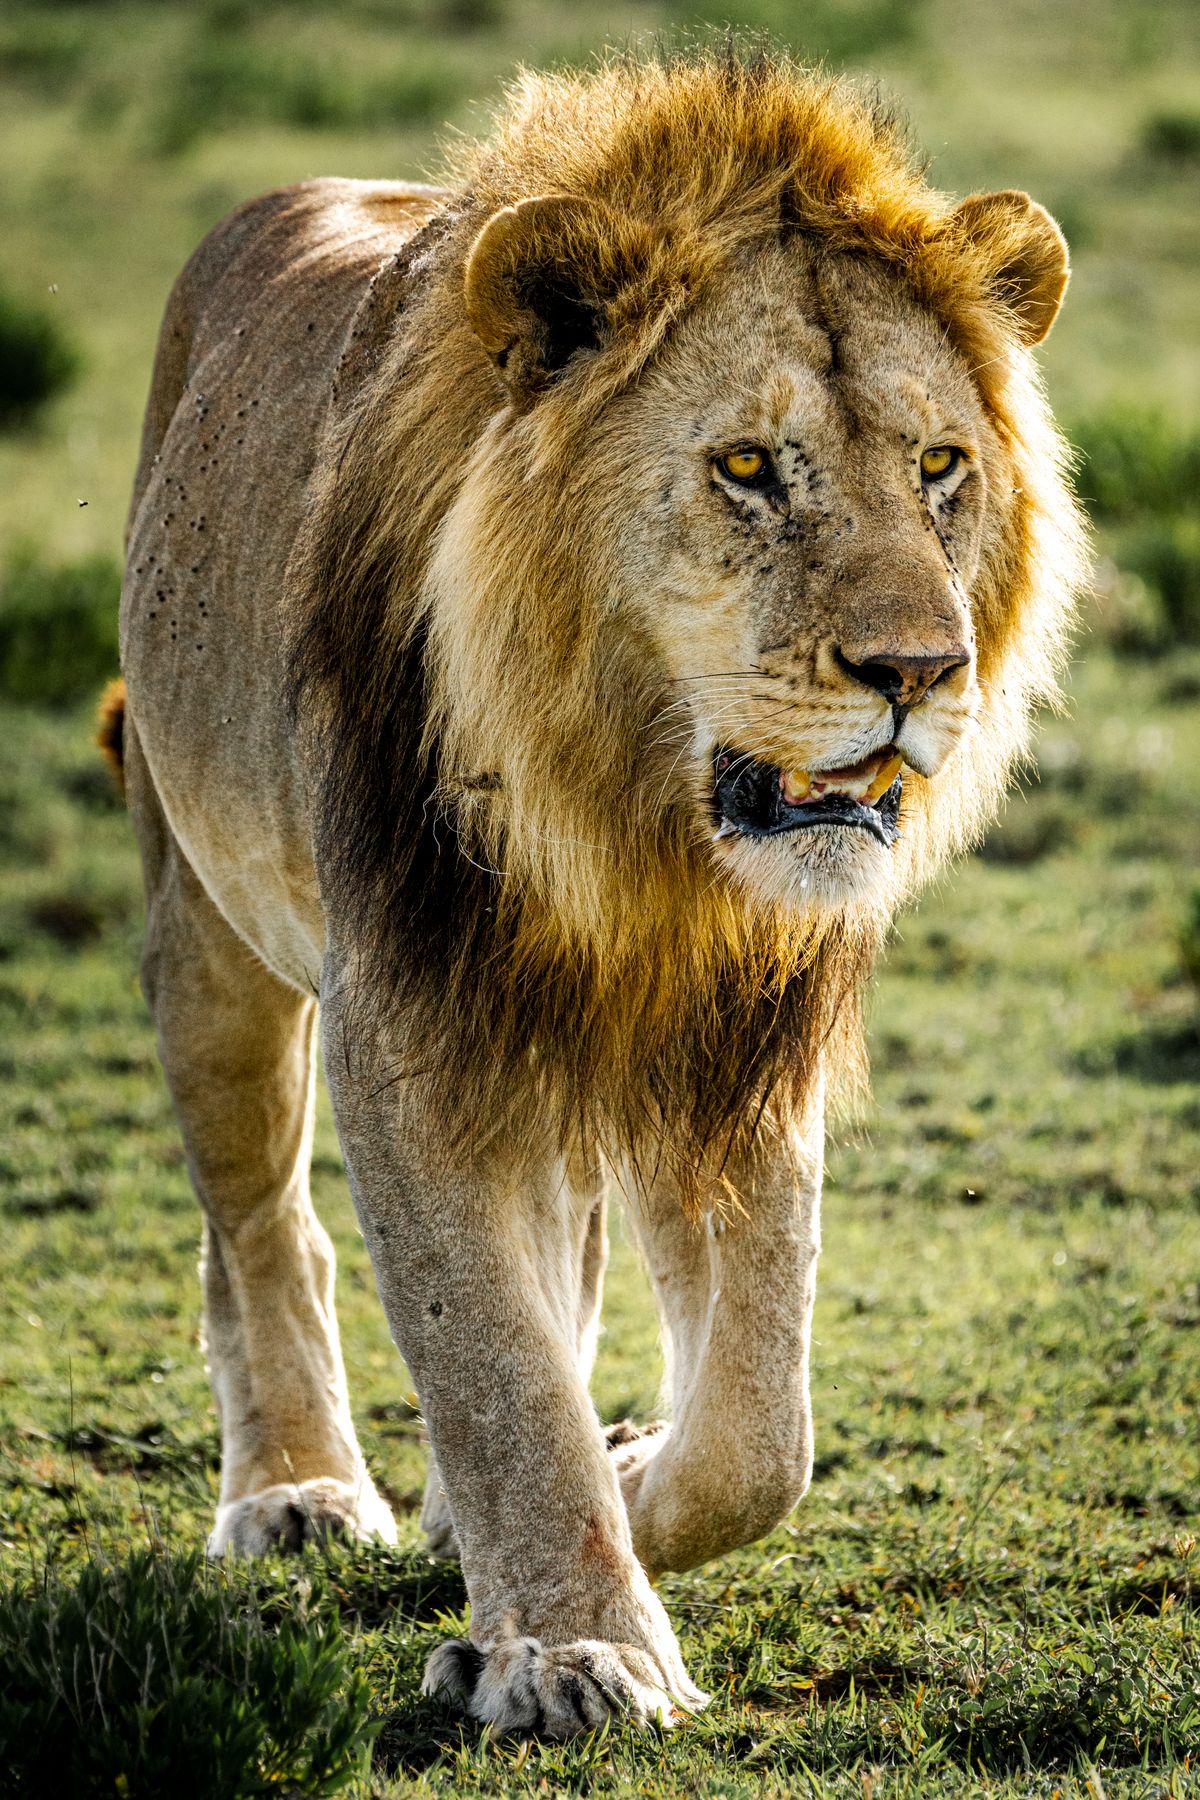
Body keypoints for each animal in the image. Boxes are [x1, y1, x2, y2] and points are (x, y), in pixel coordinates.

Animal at [114, 49, 1085, 1736]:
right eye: (749, 469)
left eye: (939, 468)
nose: (918, 672)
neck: (638, 832)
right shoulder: (407, 1014)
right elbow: (491, 1360)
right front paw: (573, 1646)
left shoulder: (732, 1034)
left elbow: (762, 1424)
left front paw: (625, 1493)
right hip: (208, 928)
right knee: (261, 1221)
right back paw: (297, 1491)